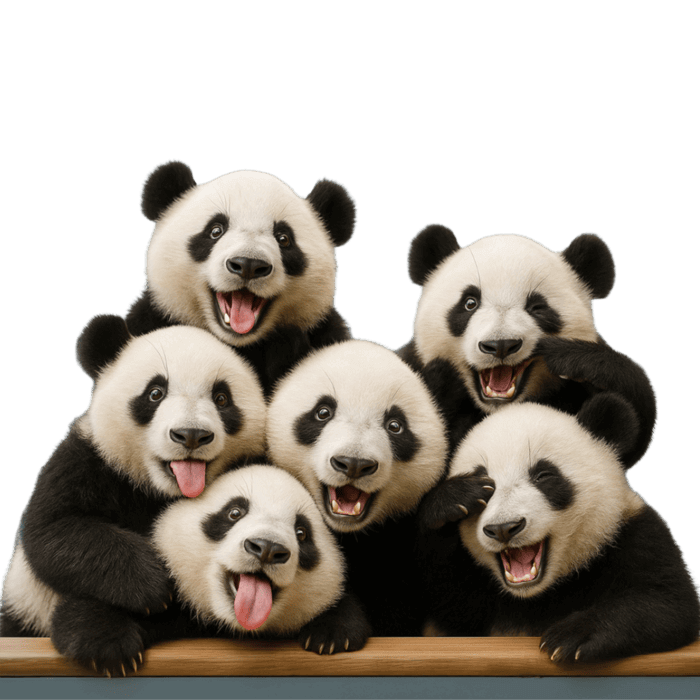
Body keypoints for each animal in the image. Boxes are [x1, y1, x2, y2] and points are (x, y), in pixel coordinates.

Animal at [0, 313, 267, 676]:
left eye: (222, 398)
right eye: (155, 392)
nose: (191, 435)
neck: (160, 490)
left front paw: (100, 634)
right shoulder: (91, 460)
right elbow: (57, 532)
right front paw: (146, 592)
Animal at [125, 159, 358, 395]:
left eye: (284, 238)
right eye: (215, 230)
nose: (248, 265)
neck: (242, 343)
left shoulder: (324, 332)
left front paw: (285, 344)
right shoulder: (153, 317)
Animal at [398, 224, 657, 468]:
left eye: (537, 308)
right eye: (469, 303)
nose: (500, 345)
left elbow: (633, 426)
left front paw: (576, 360)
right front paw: (442, 380)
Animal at [418, 394, 699, 662]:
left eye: (543, 476)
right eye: (484, 480)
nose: (504, 528)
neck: (535, 596)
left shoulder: (632, 534)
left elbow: (666, 603)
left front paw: (572, 636)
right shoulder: (463, 590)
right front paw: (453, 499)